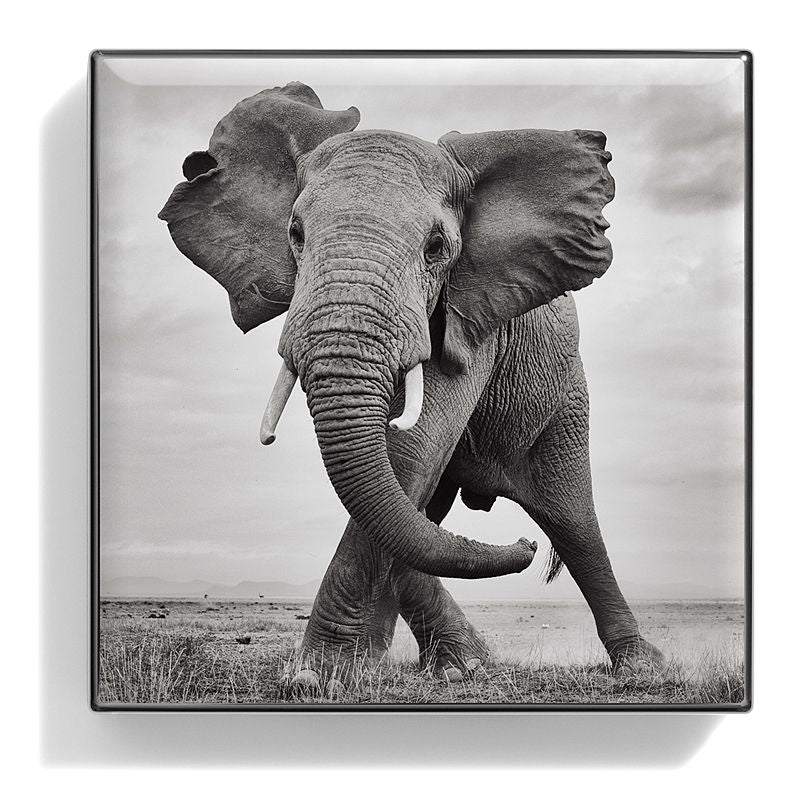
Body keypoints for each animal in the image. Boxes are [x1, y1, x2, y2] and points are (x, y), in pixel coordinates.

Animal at [159, 82, 663, 693]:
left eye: (437, 247)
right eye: (295, 235)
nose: (522, 547)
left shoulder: (470, 314)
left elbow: (411, 451)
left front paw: (319, 676)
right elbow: (402, 487)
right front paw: (352, 672)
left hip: (564, 394)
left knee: (572, 520)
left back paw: (642, 668)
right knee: (429, 516)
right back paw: (448, 663)